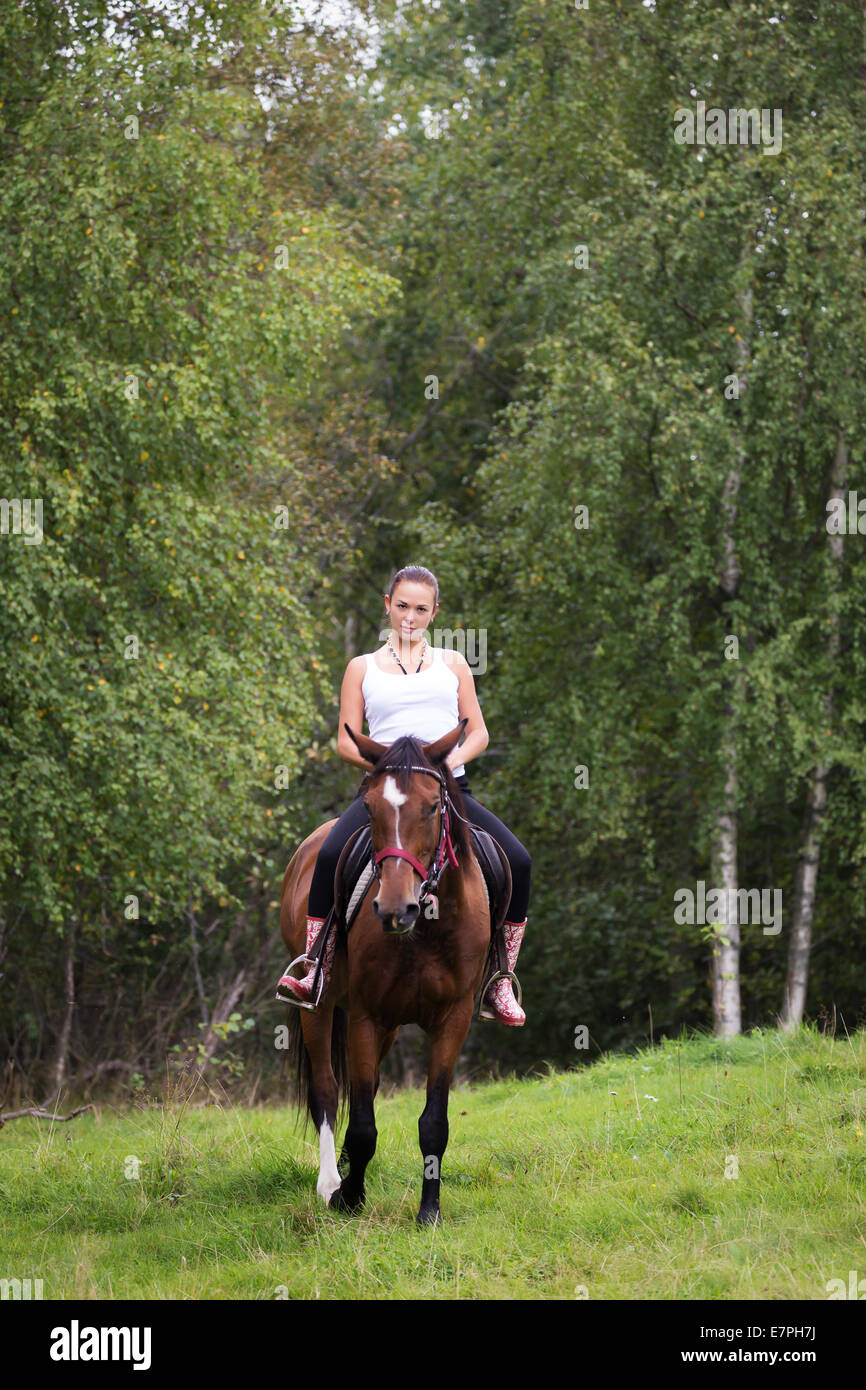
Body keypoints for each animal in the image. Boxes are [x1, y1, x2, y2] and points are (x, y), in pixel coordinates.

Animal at [279, 719, 502, 1225]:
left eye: (434, 805)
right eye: (369, 806)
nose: (394, 909)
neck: (426, 929)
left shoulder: (453, 1018)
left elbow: (433, 1120)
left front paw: (429, 1212)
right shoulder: (366, 1014)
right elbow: (361, 1120)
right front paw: (348, 1198)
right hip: (320, 1005)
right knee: (327, 1090)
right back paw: (330, 1181)